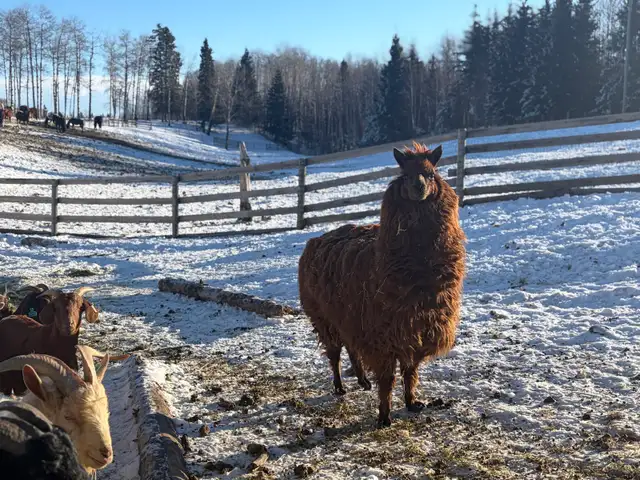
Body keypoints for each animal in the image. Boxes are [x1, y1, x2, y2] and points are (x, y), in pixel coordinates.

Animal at [298, 143, 466, 427]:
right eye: (405, 174)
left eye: (431, 174)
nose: (419, 188)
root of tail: (315, 240)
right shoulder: (385, 331)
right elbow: (388, 378)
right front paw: (384, 416)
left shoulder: (415, 327)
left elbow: (410, 369)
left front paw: (412, 403)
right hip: (323, 316)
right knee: (334, 353)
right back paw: (340, 387)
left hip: (348, 316)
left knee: (351, 348)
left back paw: (363, 381)